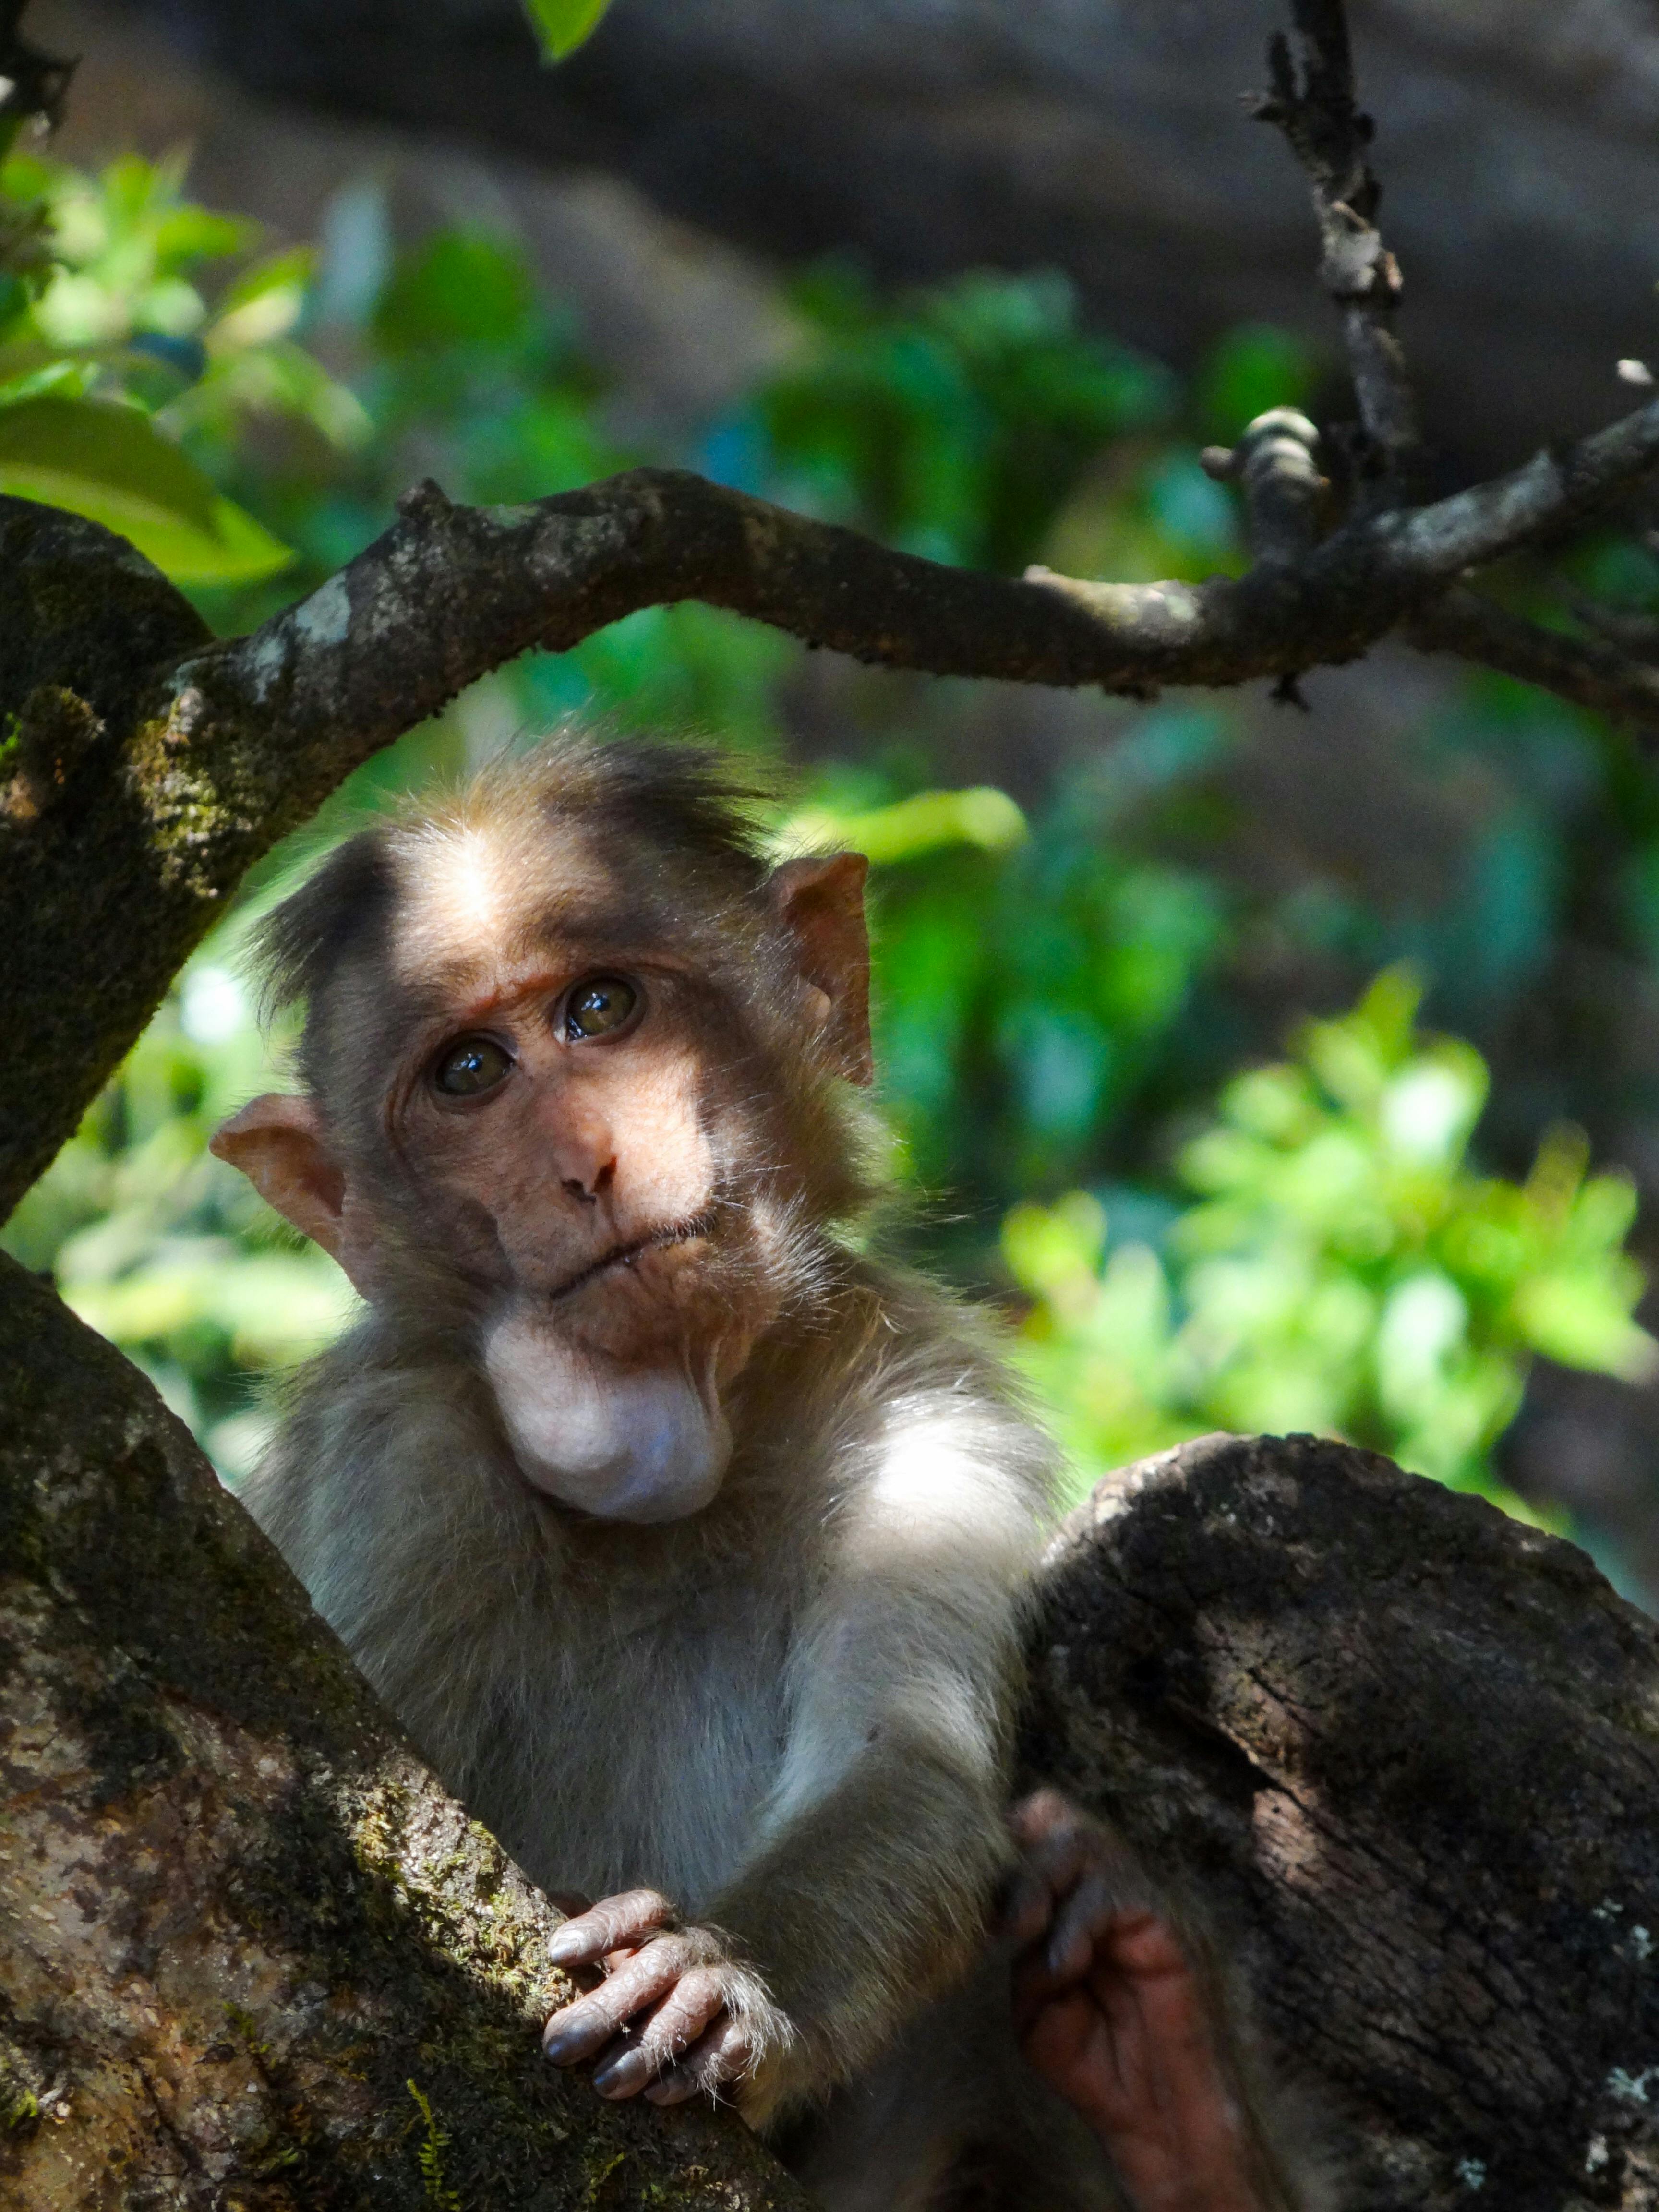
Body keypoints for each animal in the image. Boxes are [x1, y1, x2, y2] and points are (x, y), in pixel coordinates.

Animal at [211, 731, 1326, 2212]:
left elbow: (904, 1770)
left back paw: (1167, 2082)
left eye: (601, 1008)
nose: (582, 1164)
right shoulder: (399, 1457)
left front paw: (730, 1977)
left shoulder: (930, 1404)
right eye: (467, 1075)